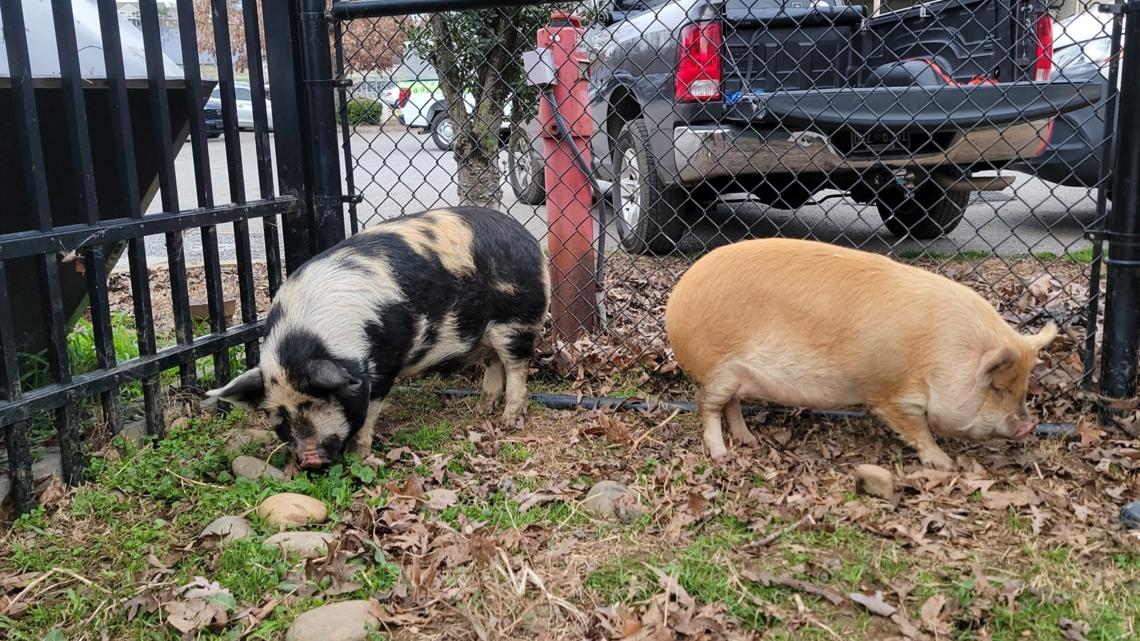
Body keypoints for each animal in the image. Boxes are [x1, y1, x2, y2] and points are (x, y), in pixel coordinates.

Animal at [207, 207, 550, 470]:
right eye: (279, 414)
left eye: (320, 401)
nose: (310, 460)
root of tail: (528, 239)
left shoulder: (384, 361)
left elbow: (371, 408)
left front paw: (360, 455)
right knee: (495, 364)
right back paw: (482, 409)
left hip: (516, 320)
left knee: (516, 367)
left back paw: (507, 421)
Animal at [664, 238, 1057, 470]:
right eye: (997, 387)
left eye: (1023, 386)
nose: (1029, 425)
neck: (941, 355)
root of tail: (677, 296)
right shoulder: (892, 394)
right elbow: (918, 430)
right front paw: (945, 465)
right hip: (715, 370)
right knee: (708, 407)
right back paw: (721, 455)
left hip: (734, 375)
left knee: (731, 405)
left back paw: (749, 440)